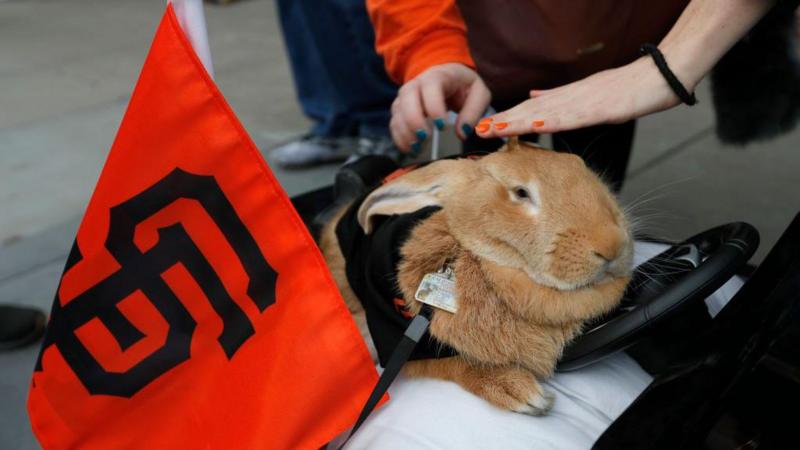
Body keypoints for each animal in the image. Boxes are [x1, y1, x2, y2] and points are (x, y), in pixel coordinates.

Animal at [319, 138, 633, 415]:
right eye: (521, 192)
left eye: (579, 164)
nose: (613, 245)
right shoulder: (397, 334)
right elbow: (450, 363)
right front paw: (522, 393)